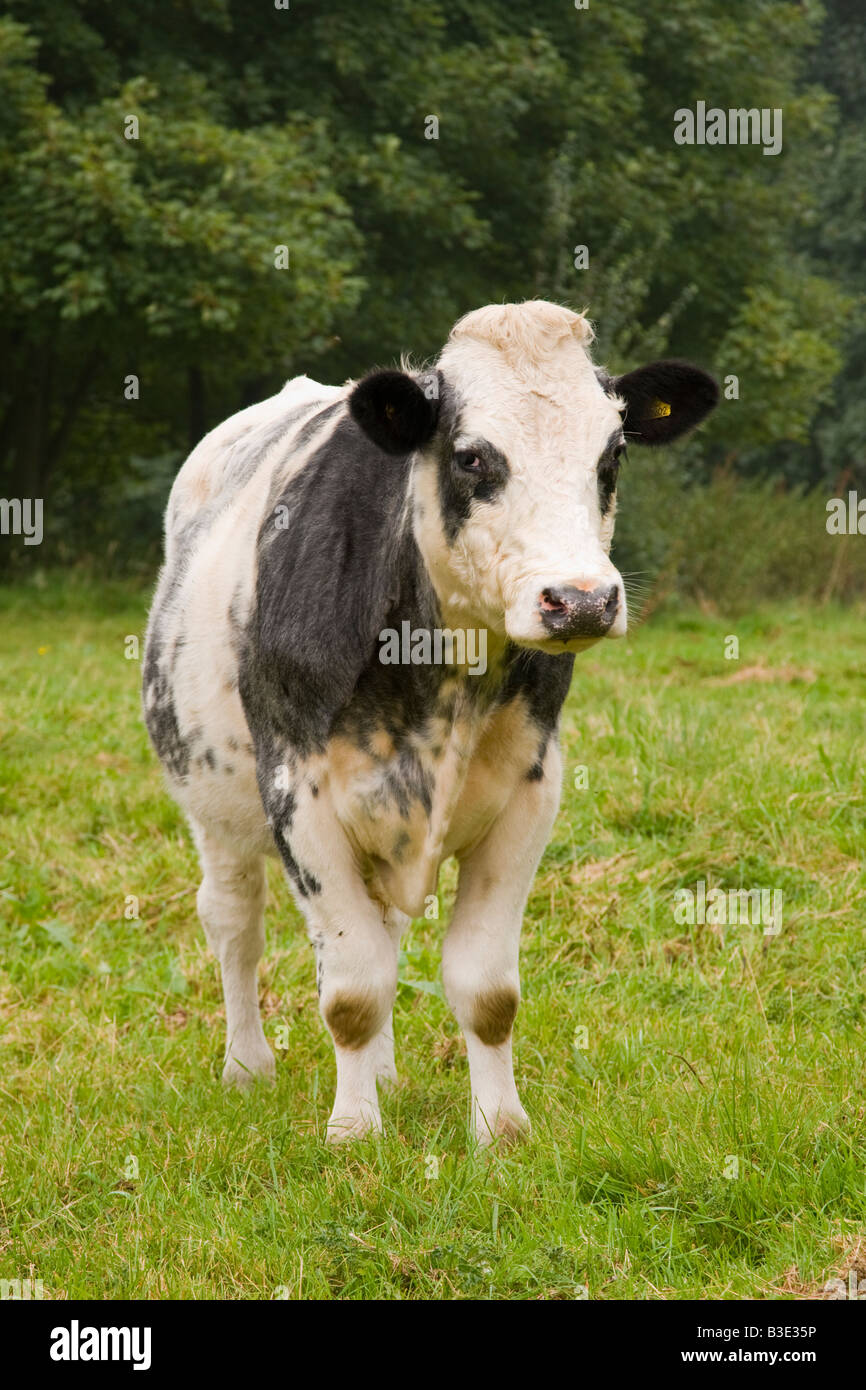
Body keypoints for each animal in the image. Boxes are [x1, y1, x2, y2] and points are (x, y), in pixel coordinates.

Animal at [143, 300, 717, 1144]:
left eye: (612, 454)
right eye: (473, 457)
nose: (580, 599)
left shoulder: (529, 794)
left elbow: (484, 990)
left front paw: (499, 1128)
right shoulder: (299, 798)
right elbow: (351, 990)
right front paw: (354, 1131)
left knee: (383, 929)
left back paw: (381, 1073)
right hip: (212, 802)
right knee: (234, 923)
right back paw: (247, 1065)